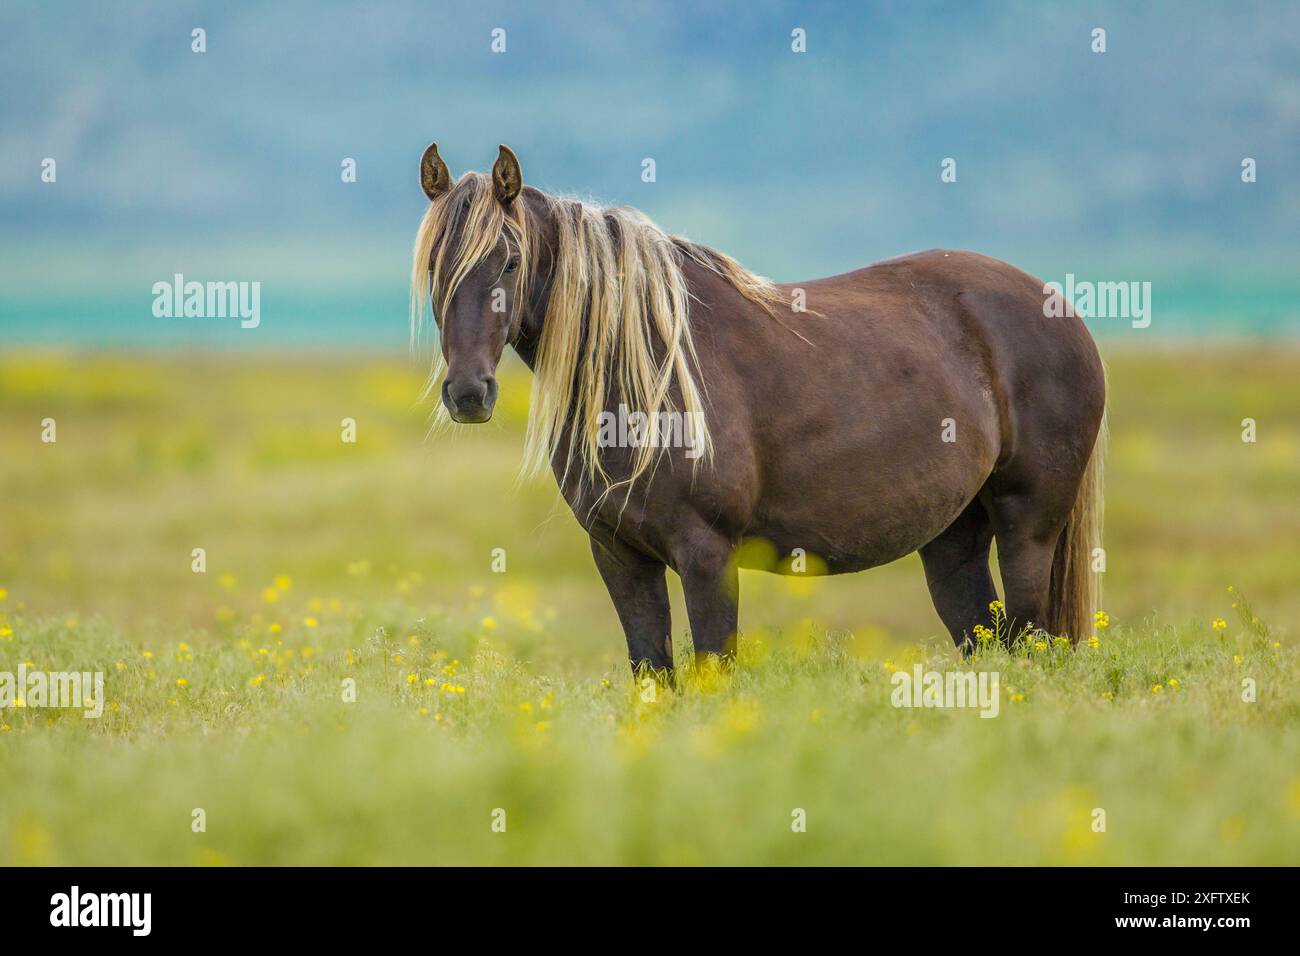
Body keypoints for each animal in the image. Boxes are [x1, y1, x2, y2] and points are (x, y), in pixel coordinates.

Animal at [410, 143, 1106, 673]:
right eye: (434, 268)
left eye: (511, 261)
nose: (468, 393)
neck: (645, 376)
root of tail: (1059, 310)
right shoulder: (620, 556)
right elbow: (652, 674)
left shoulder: (707, 555)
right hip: (953, 538)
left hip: (1027, 525)